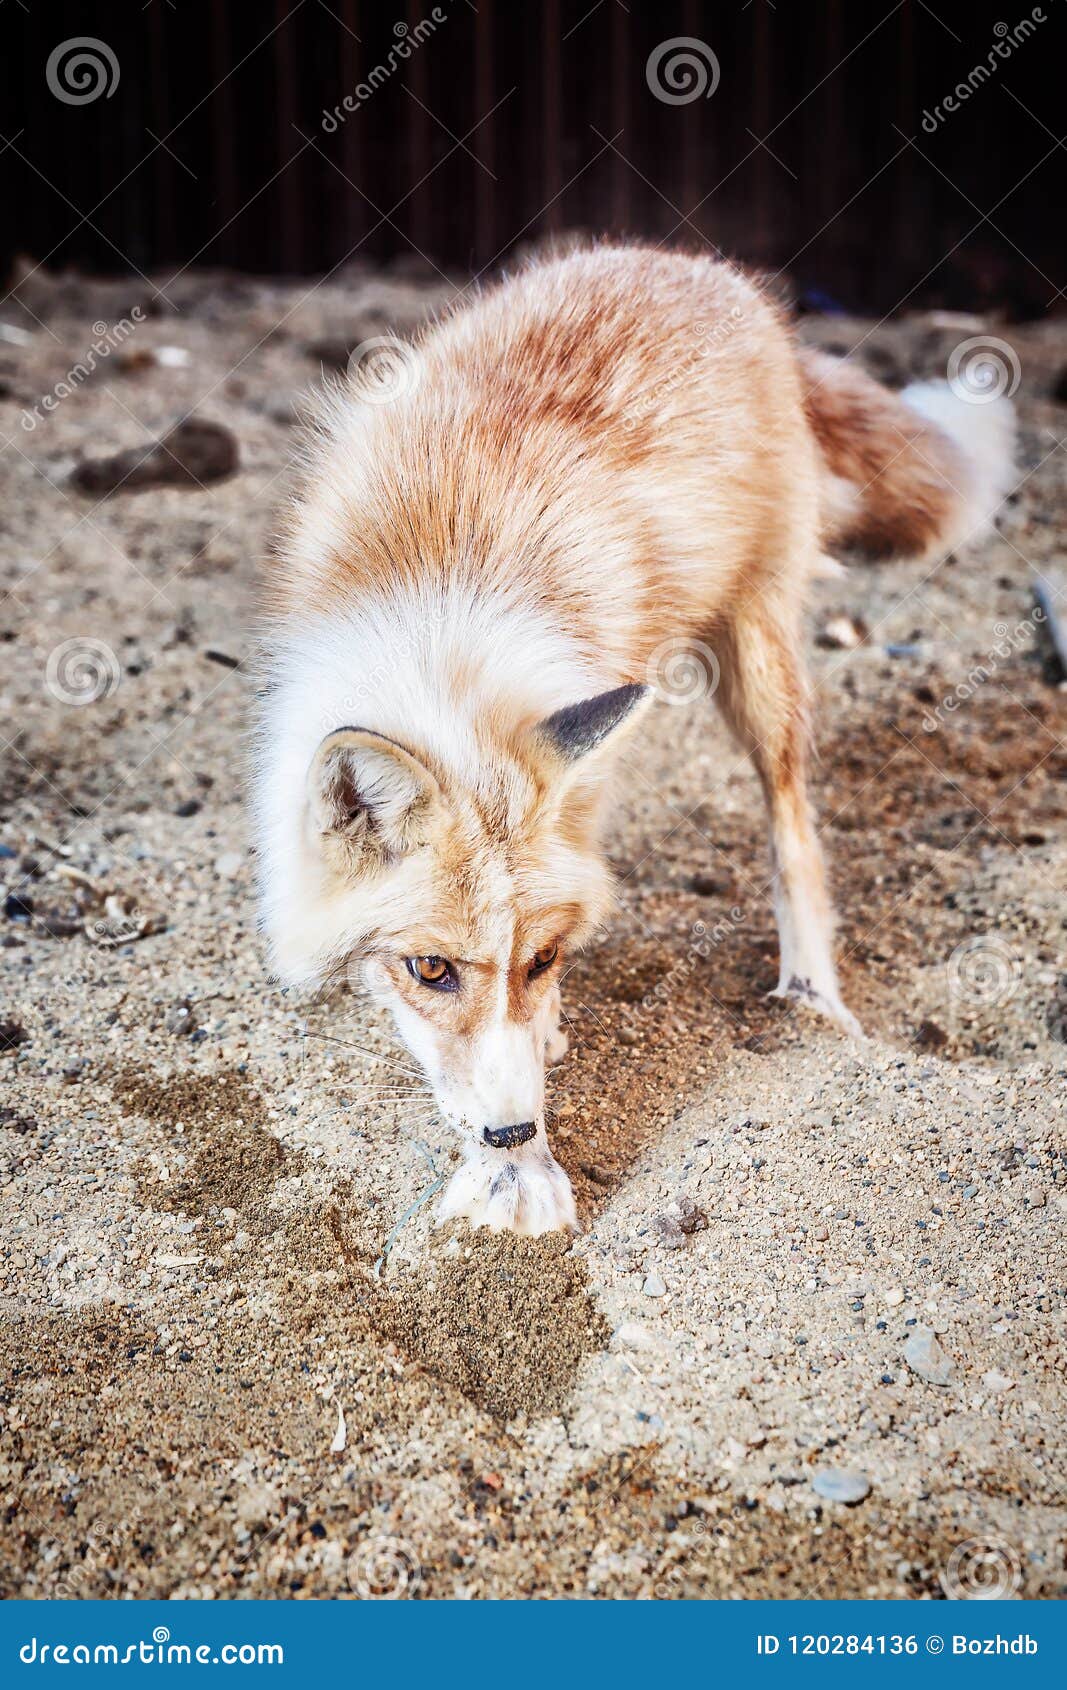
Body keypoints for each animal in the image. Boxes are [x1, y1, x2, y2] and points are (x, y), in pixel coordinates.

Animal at [254, 244, 1016, 1237]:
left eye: (538, 957)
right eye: (430, 969)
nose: (511, 1134)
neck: (442, 632)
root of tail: (702, 269)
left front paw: (520, 1165)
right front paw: (511, 1144)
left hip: (756, 662)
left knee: (793, 826)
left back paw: (812, 997)